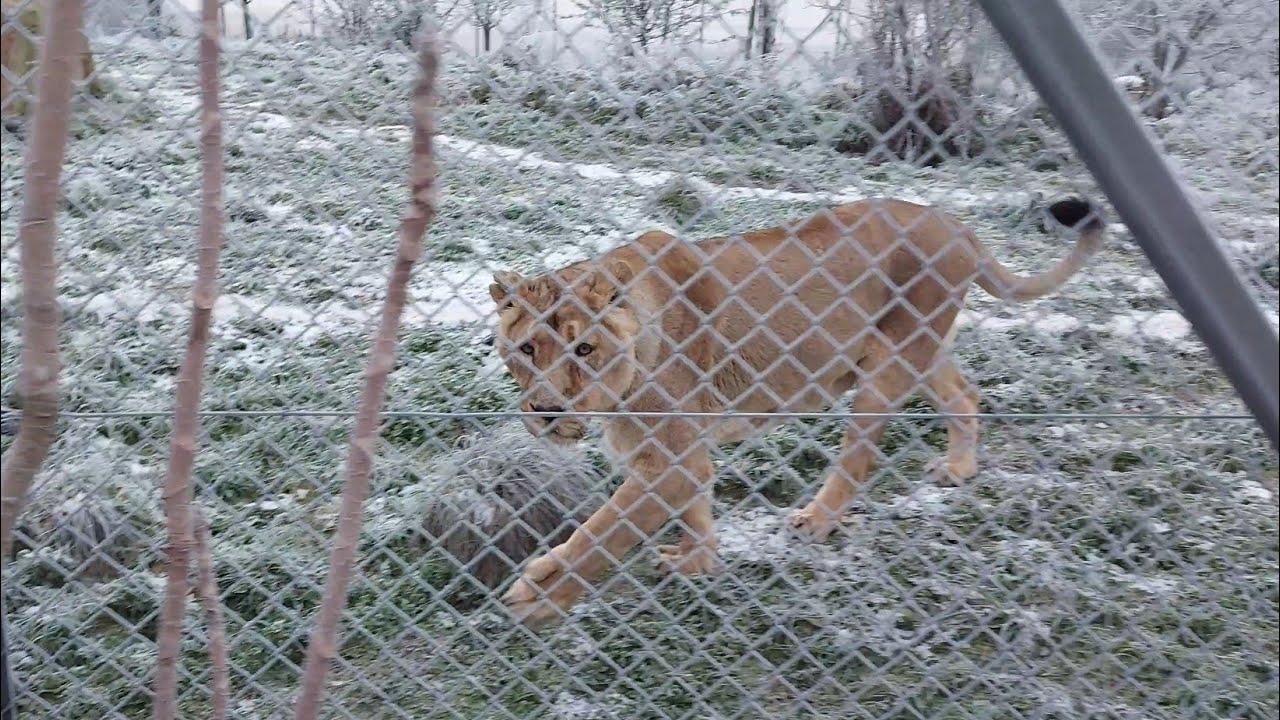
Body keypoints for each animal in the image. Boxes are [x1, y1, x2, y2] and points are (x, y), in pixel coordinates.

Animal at [489, 197, 1106, 627]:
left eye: (583, 349)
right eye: (528, 350)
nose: (546, 410)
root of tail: (957, 227)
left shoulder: (670, 459)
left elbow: (602, 534)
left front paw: (538, 595)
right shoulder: (678, 457)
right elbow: (694, 509)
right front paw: (698, 560)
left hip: (889, 365)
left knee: (859, 457)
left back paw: (817, 519)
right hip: (920, 355)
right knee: (965, 394)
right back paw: (958, 469)